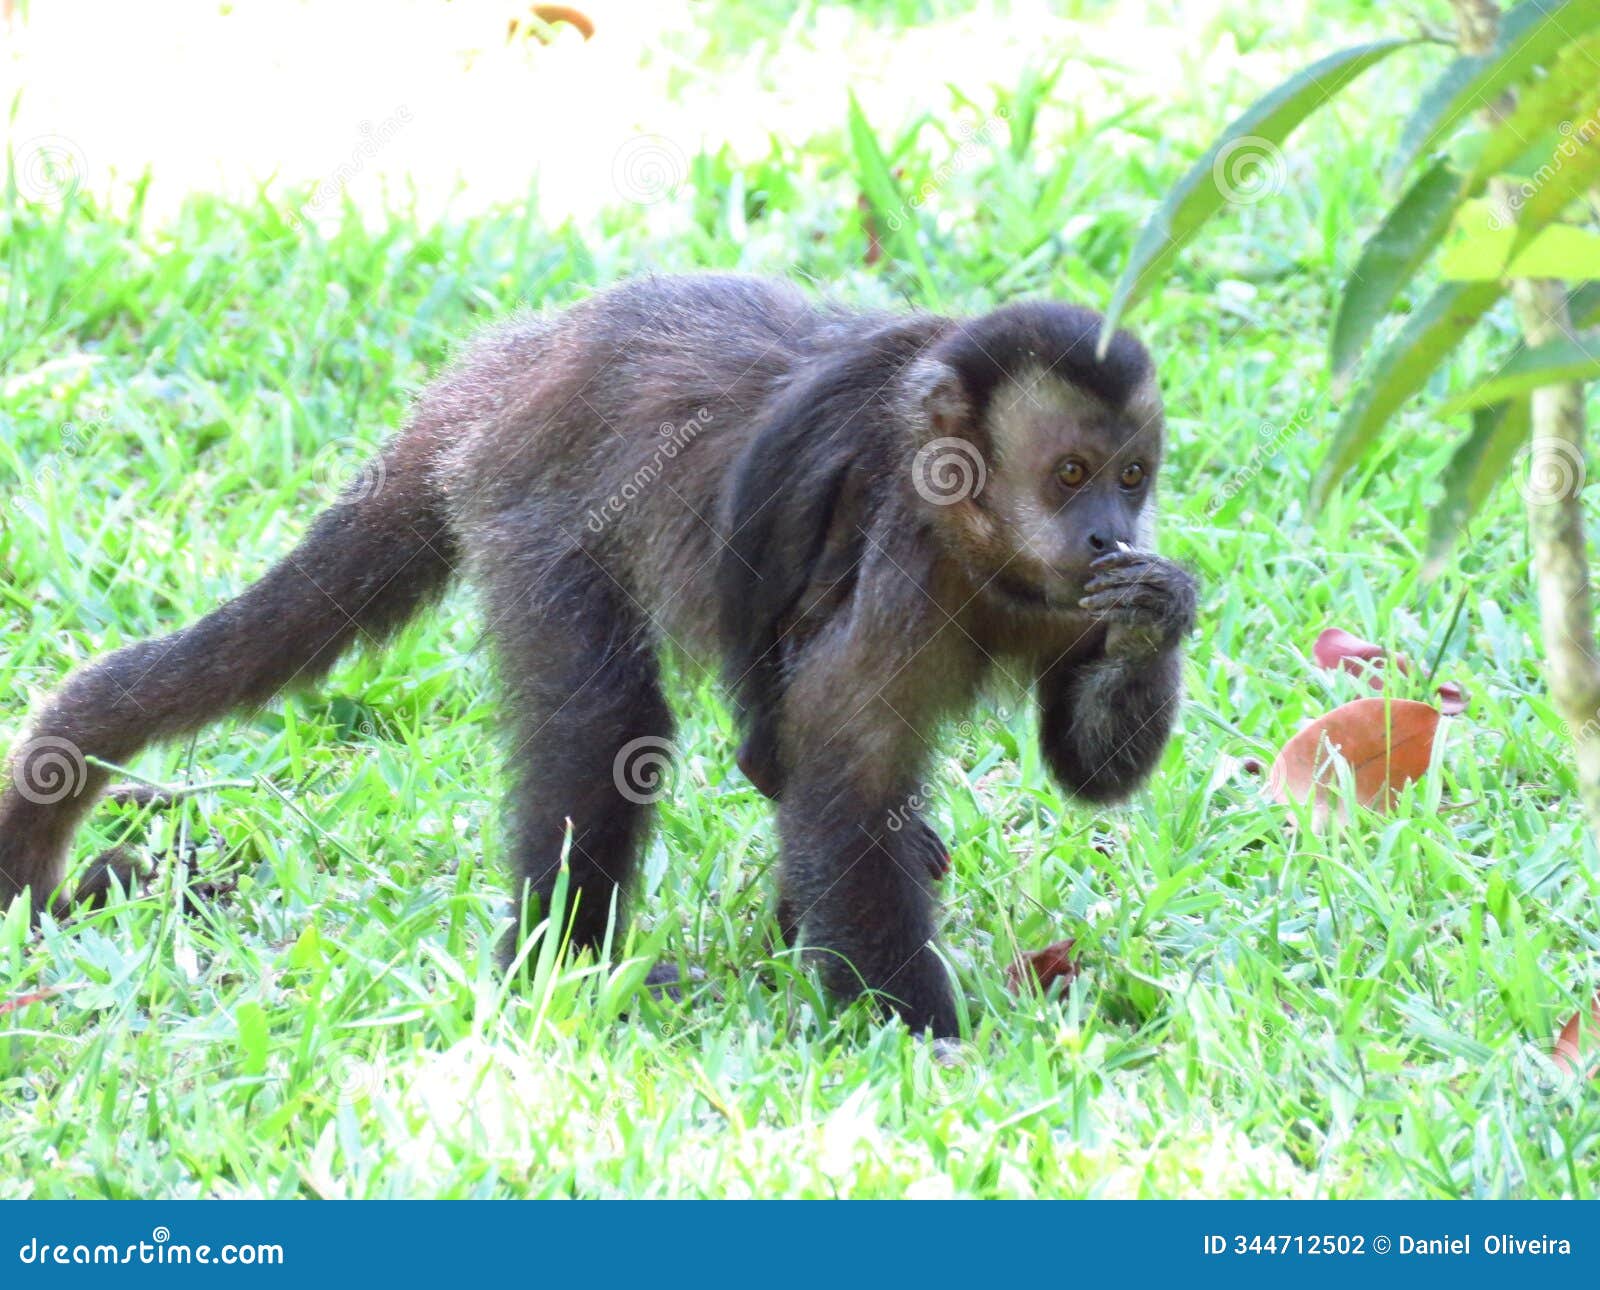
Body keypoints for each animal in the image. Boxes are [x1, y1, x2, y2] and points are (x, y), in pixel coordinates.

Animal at [0, 273, 1195, 1039]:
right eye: (1070, 473)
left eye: (1131, 477)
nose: (1109, 535)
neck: (977, 551)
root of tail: (524, 359)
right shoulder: (900, 562)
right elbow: (844, 769)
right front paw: (928, 1040)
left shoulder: (1062, 598)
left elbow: (1084, 770)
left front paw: (1160, 612)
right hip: (536, 499)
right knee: (609, 726)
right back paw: (560, 974)